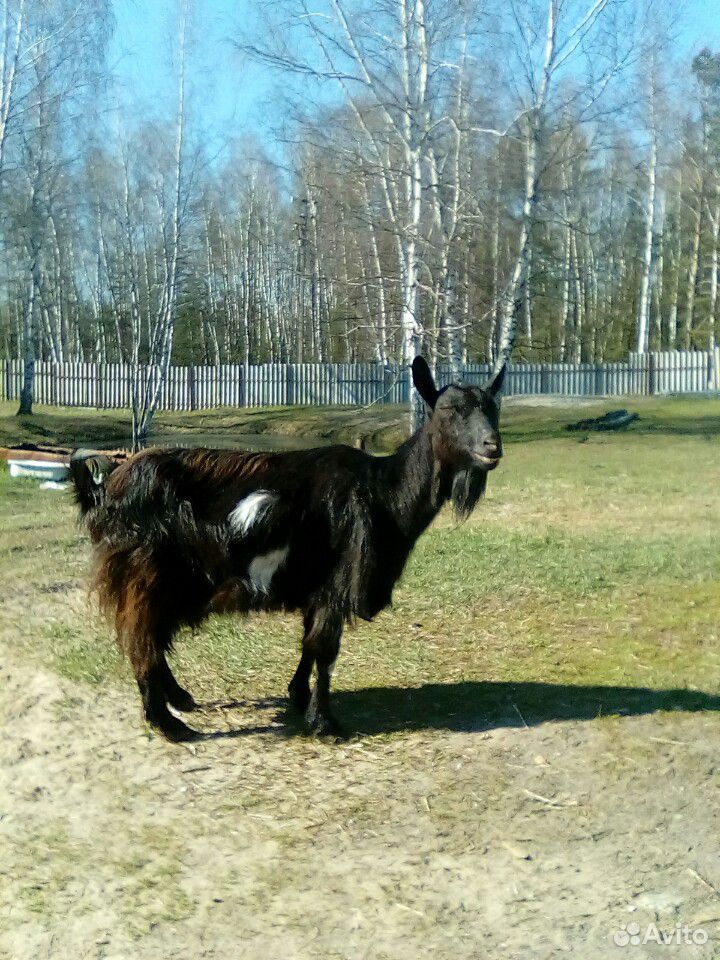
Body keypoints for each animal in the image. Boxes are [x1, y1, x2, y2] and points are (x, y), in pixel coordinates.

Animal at [70, 357, 506, 741]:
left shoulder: (317, 585)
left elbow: (308, 647)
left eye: (493, 408)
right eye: (449, 410)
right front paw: (325, 723)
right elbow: (325, 651)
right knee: (141, 640)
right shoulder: (336, 581)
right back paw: (170, 725)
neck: (382, 491)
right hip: (143, 573)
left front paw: (298, 696)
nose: (492, 447)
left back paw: (180, 699)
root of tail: (106, 487)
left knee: (154, 639)